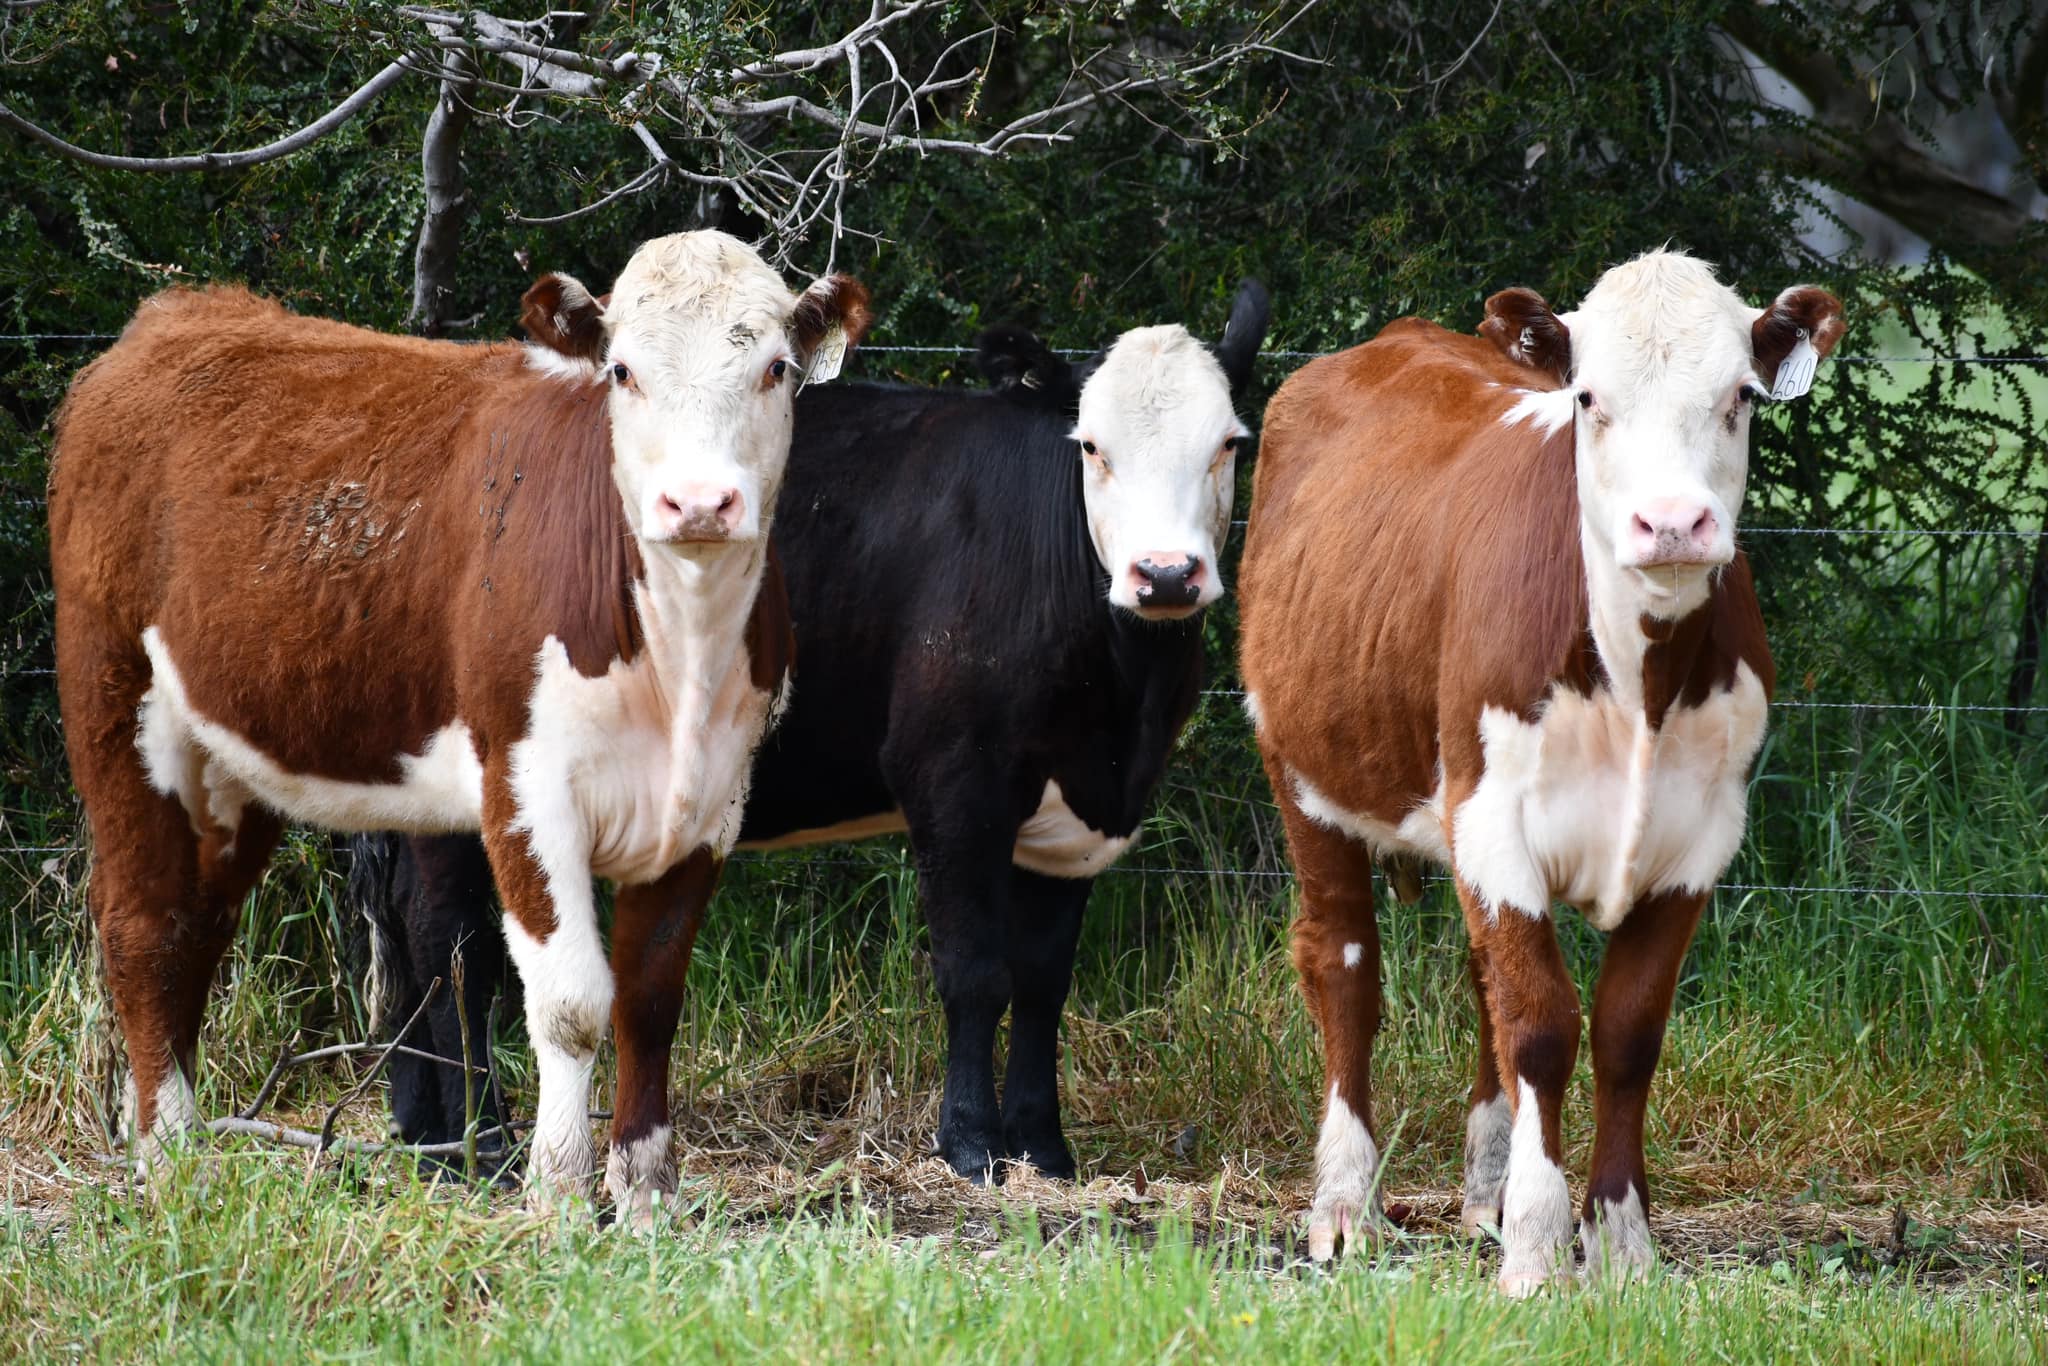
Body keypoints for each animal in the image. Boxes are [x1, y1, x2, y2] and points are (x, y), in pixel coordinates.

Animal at [49, 231, 872, 1221]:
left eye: (776, 368)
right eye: (623, 371)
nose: (701, 503)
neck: (681, 658)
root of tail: (177, 314)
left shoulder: (713, 803)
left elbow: (650, 998)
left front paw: (644, 1200)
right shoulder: (525, 788)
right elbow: (571, 1003)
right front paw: (558, 1197)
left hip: (232, 757)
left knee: (197, 927)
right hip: (115, 697)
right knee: (142, 924)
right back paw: (167, 1158)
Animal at [349, 279, 1271, 1184]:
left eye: (1231, 443)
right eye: (1091, 447)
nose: (1164, 575)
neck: (1120, 698)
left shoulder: (1084, 804)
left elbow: (1045, 979)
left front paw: (1043, 1147)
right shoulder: (954, 777)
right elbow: (975, 971)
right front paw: (971, 1143)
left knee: (407, 928)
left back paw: (423, 1132)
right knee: (450, 942)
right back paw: (483, 1144)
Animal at [1237, 250, 1843, 1293]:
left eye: (1741, 396)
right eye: (1589, 398)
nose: (1672, 522)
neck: (1639, 680)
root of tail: (1394, 338)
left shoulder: (1701, 838)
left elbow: (1625, 1032)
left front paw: (1621, 1244)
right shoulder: (1493, 819)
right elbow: (1543, 1027)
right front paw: (1536, 1250)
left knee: (1480, 980)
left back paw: (1482, 1191)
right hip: (1304, 771)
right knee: (1344, 962)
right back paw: (1348, 1205)